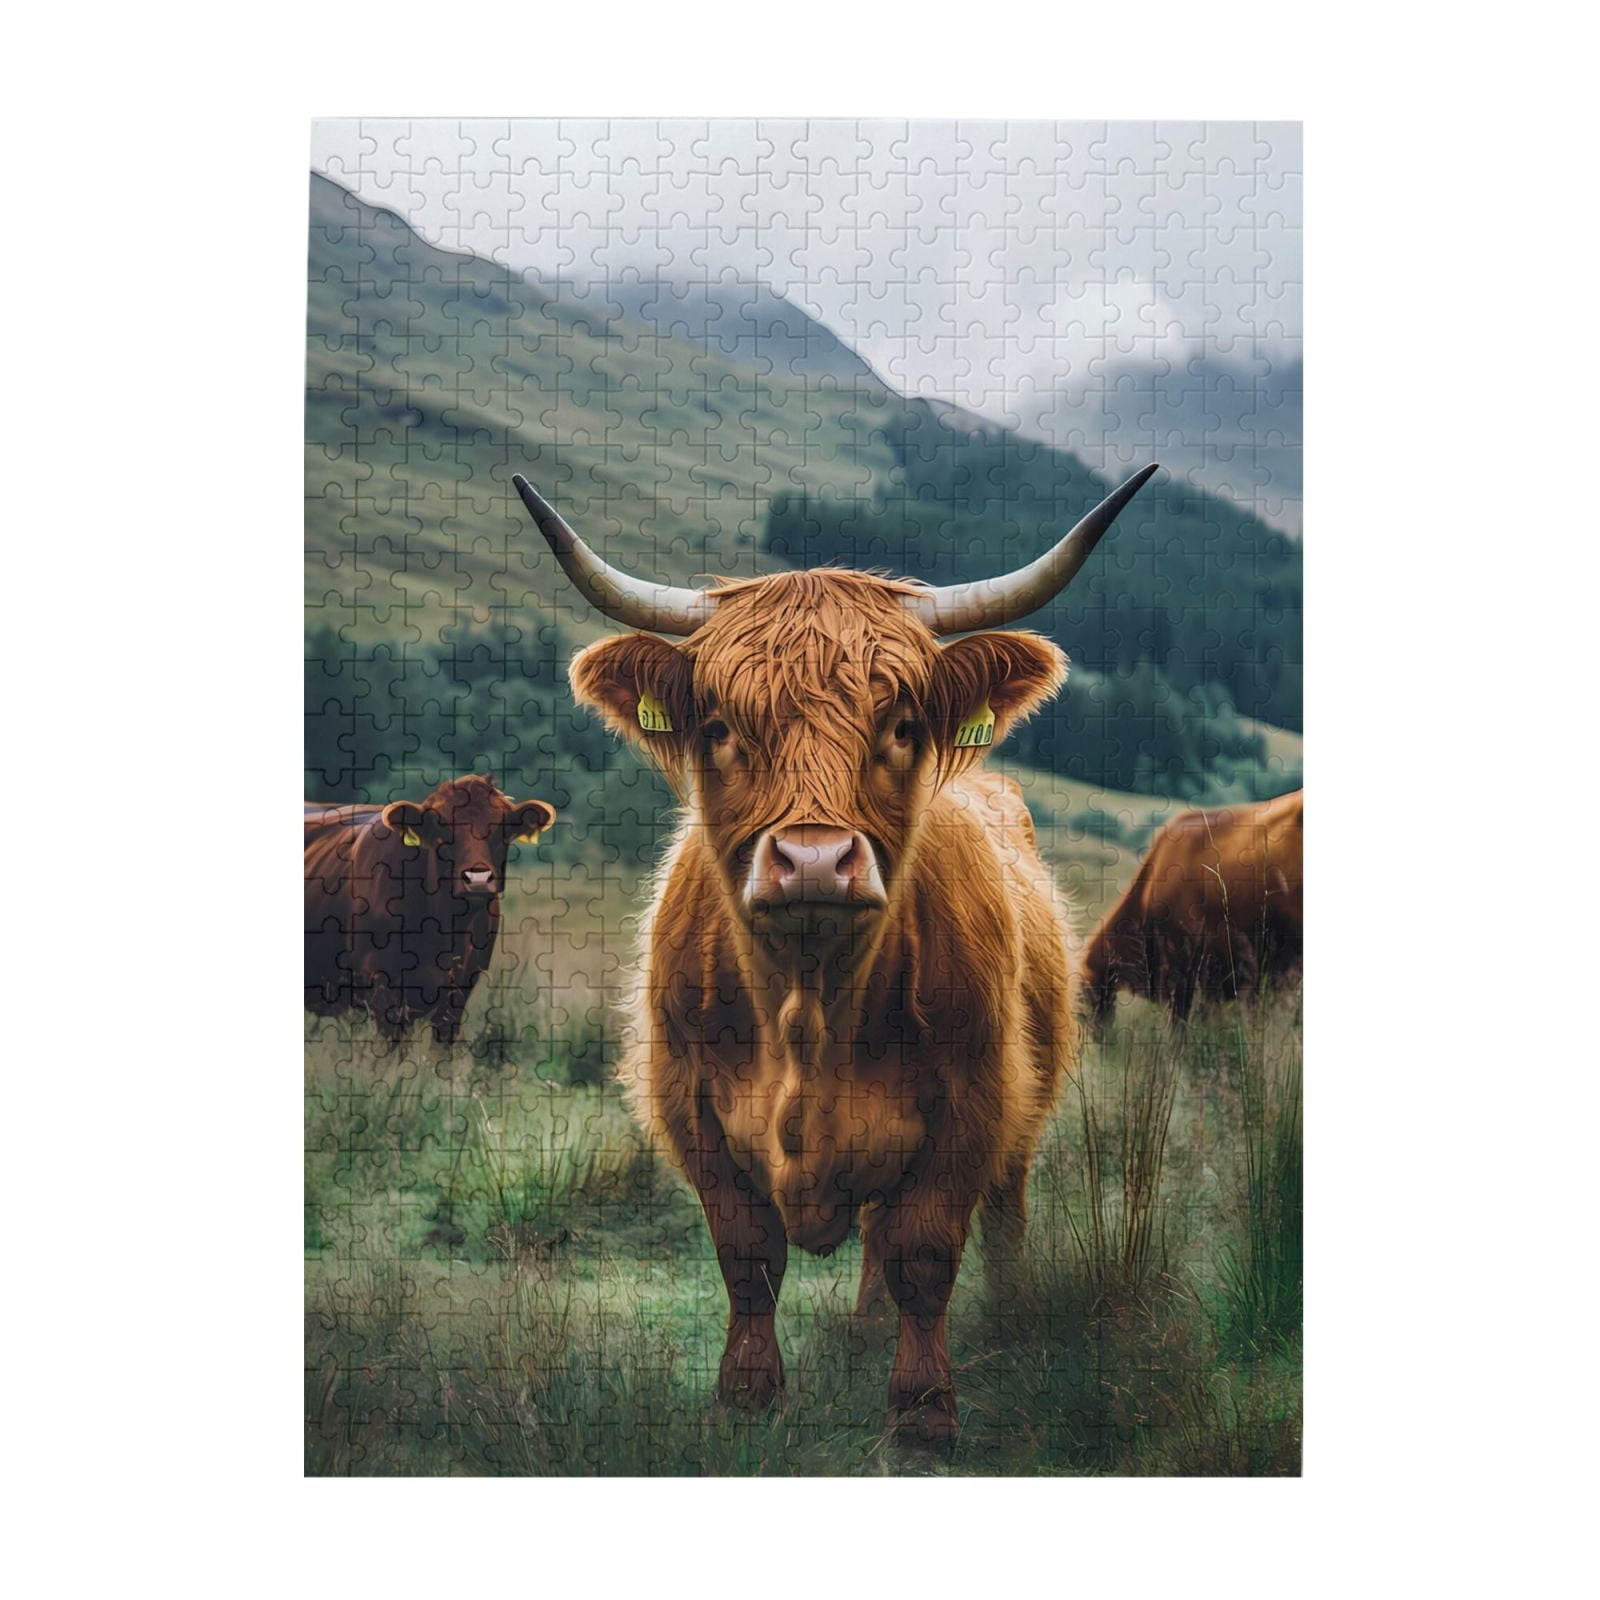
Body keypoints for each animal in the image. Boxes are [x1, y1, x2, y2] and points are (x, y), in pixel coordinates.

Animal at [512, 464, 1158, 1451]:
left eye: (900, 725)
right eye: (721, 727)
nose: (814, 859)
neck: (809, 1006)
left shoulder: (972, 1097)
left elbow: (925, 1251)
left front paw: (923, 1415)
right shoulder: (689, 1099)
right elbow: (748, 1257)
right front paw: (746, 1398)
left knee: (996, 1212)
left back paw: (1002, 1317)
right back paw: (861, 1328)